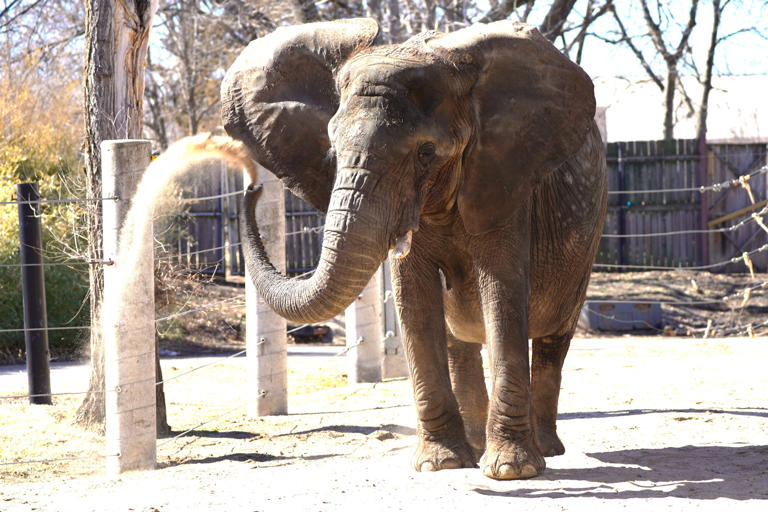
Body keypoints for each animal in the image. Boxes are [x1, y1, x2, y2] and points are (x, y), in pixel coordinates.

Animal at [221, 18, 607, 480]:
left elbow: (501, 293)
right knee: (460, 337)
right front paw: (439, 464)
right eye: (332, 148)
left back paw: (545, 449)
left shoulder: (506, 178)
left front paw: (510, 471)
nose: (253, 188)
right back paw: (474, 447)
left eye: (426, 152)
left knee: (553, 333)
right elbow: (416, 300)